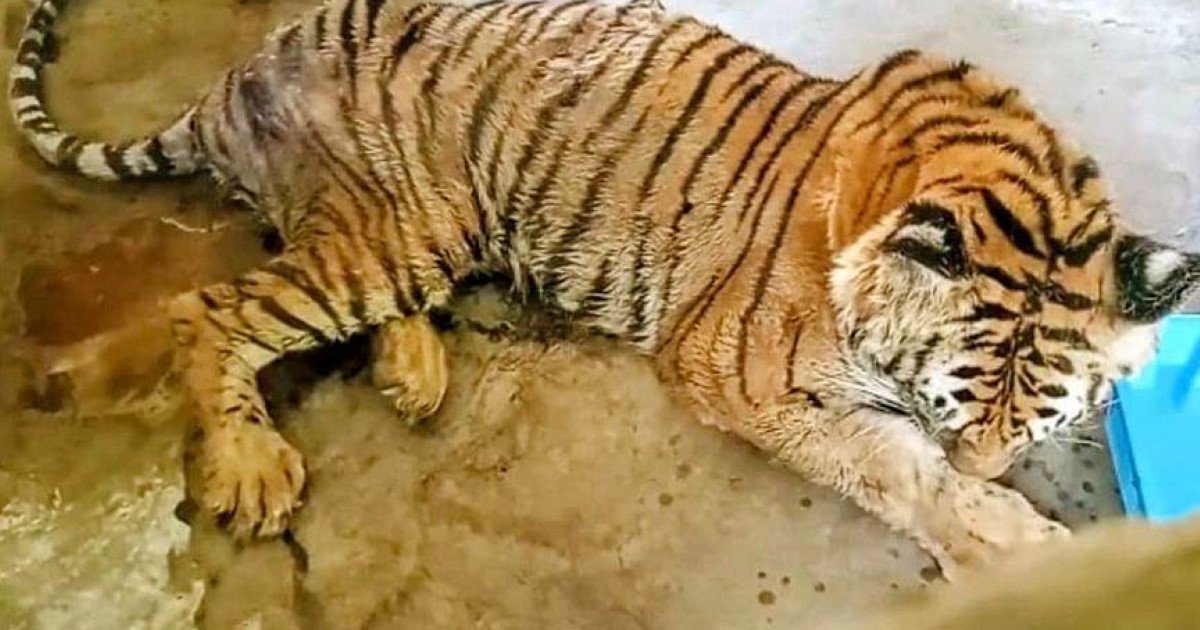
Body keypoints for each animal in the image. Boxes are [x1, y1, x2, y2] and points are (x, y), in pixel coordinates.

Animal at [10, 0, 1198, 577]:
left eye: (1046, 424)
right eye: (956, 410)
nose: (992, 465)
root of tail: (234, 74)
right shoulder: (732, 371)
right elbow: (889, 466)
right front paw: (1008, 541)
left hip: (407, 225)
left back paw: (415, 368)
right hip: (398, 229)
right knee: (209, 311)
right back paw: (255, 465)